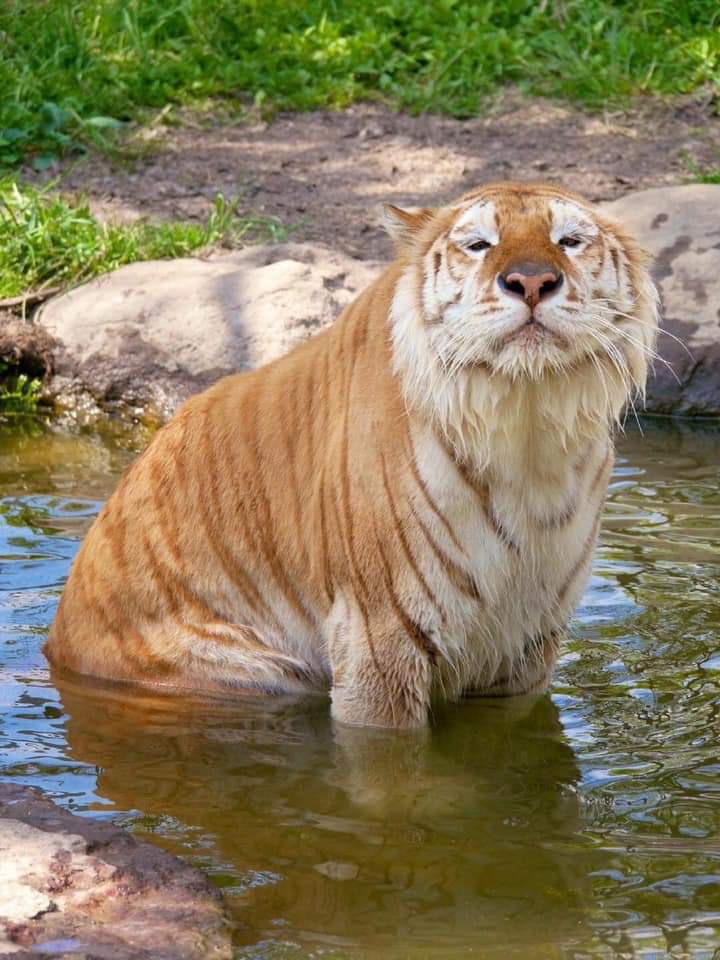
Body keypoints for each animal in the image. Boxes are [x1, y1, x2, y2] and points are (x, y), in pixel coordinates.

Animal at [45, 181, 659, 728]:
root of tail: (56, 643)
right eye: (479, 244)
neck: (526, 423)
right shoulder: (382, 632)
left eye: (570, 241)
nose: (531, 281)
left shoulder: (525, 645)